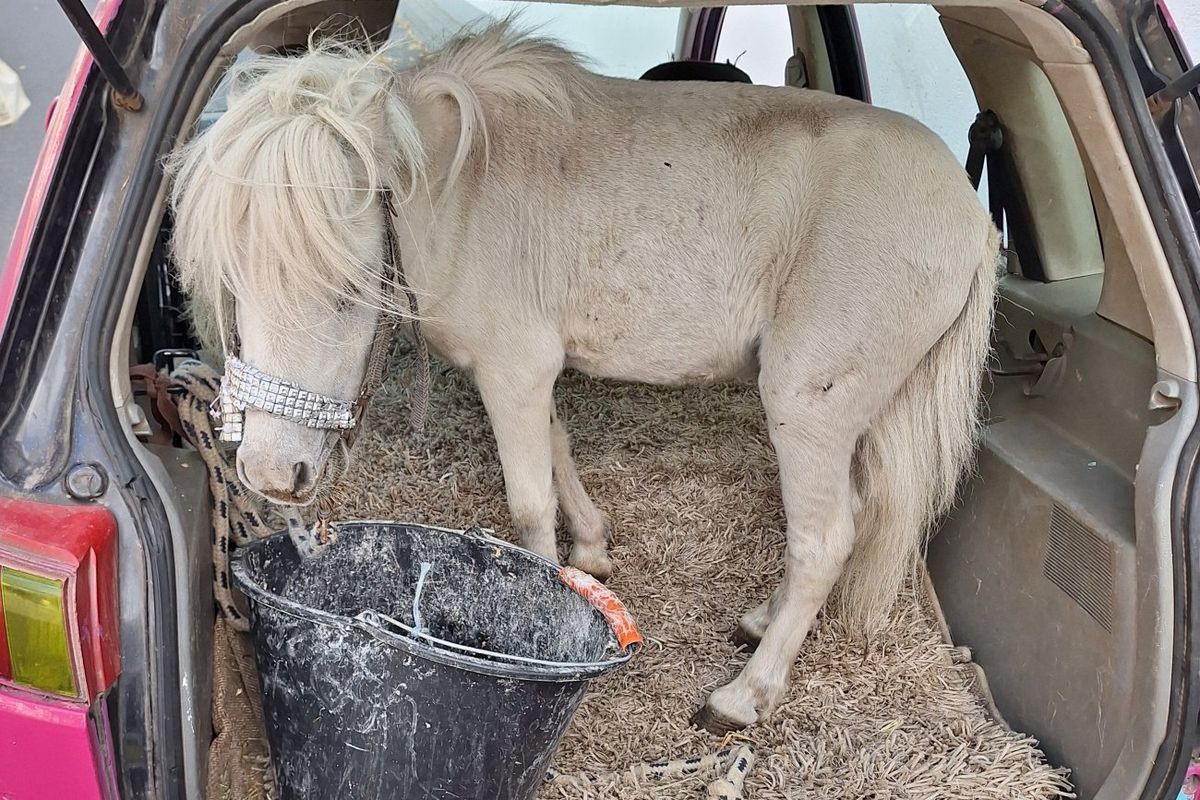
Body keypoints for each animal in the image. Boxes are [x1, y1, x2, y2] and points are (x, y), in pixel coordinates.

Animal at [168, 21, 999, 732]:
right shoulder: (527, 371)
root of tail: (973, 219)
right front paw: (593, 550)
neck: (462, 191)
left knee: (824, 540)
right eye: (231, 284)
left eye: (347, 289)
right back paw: (763, 620)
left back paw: (745, 695)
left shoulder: (514, 369)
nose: (272, 474)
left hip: (809, 406)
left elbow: (529, 504)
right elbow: (559, 448)